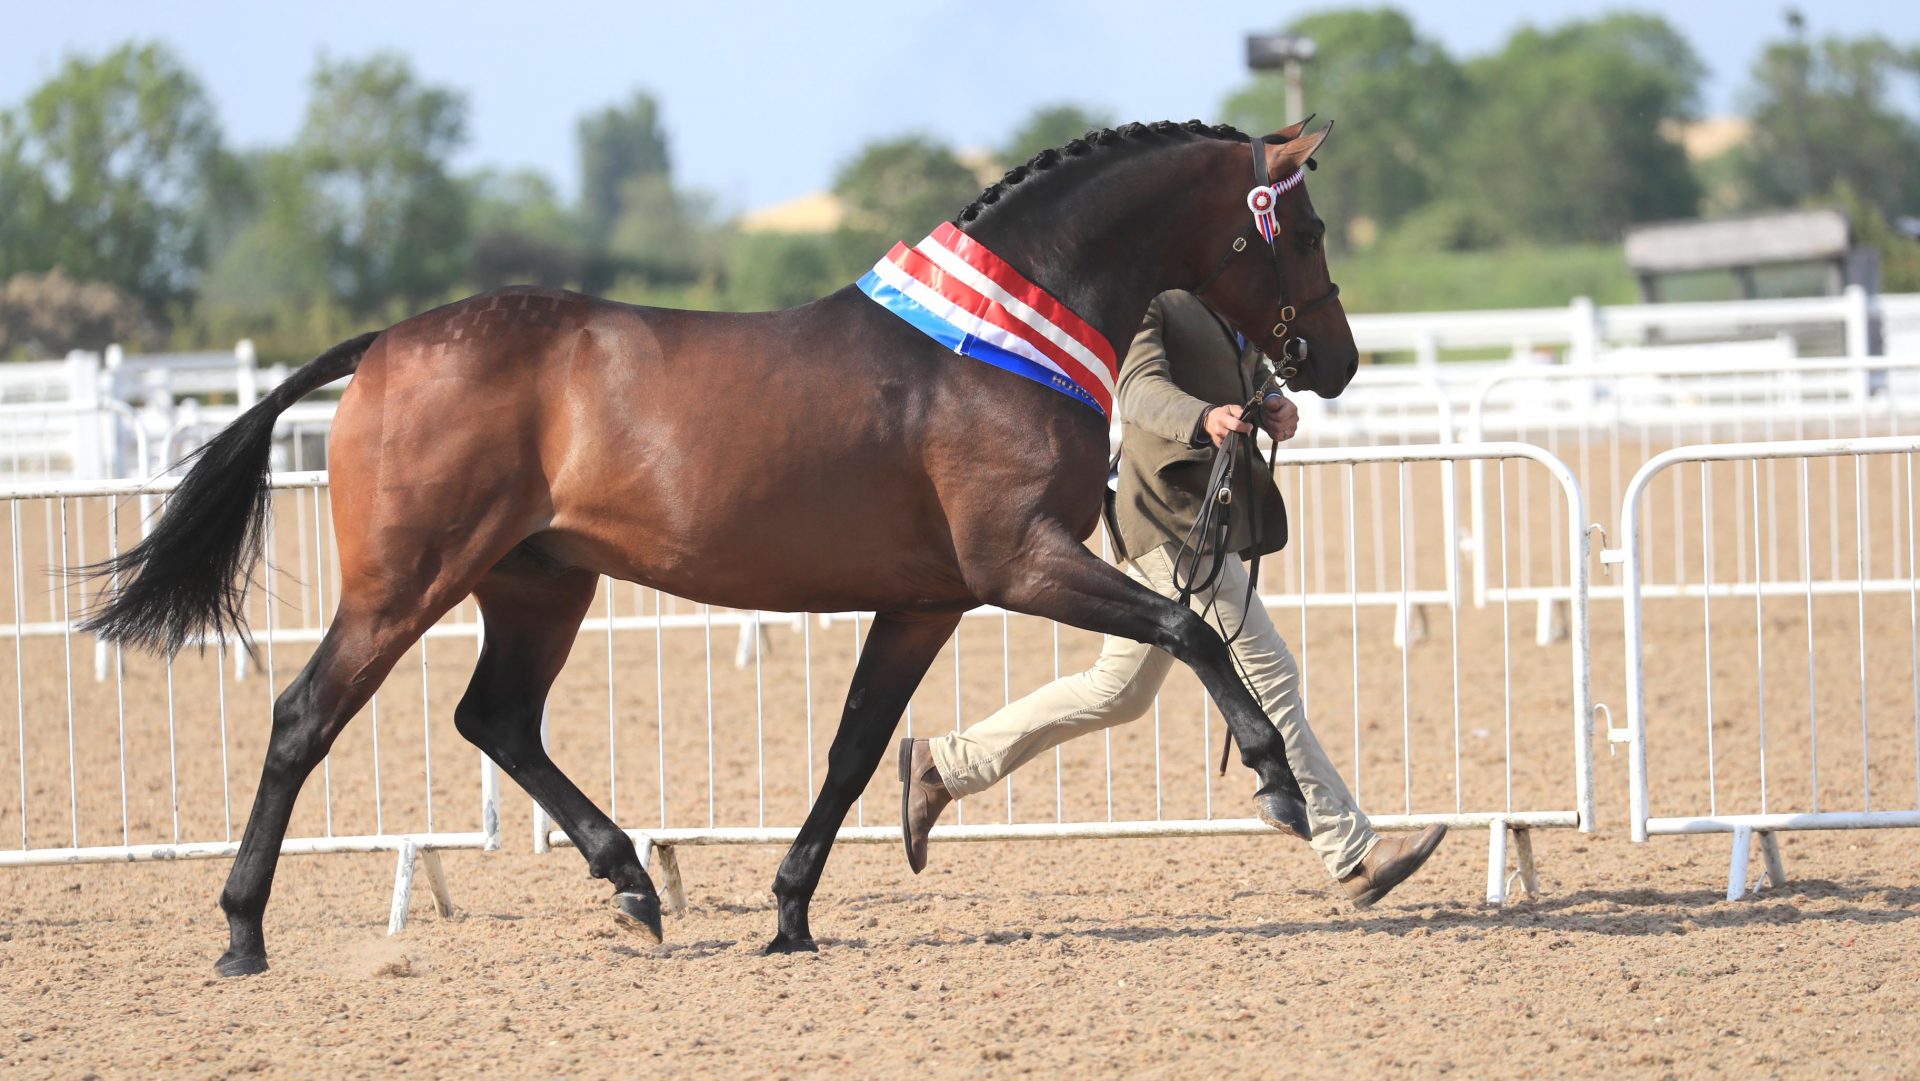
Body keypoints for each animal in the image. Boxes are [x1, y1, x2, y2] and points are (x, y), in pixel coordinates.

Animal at [80, 118, 1356, 975]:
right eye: (1301, 227)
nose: (1336, 362)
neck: (1000, 337)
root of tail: (389, 341)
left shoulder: (927, 601)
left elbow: (855, 750)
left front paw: (790, 912)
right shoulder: (1020, 562)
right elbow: (1189, 625)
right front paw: (1278, 784)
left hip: (540, 586)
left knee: (496, 718)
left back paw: (633, 884)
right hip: (406, 582)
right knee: (306, 715)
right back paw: (243, 931)